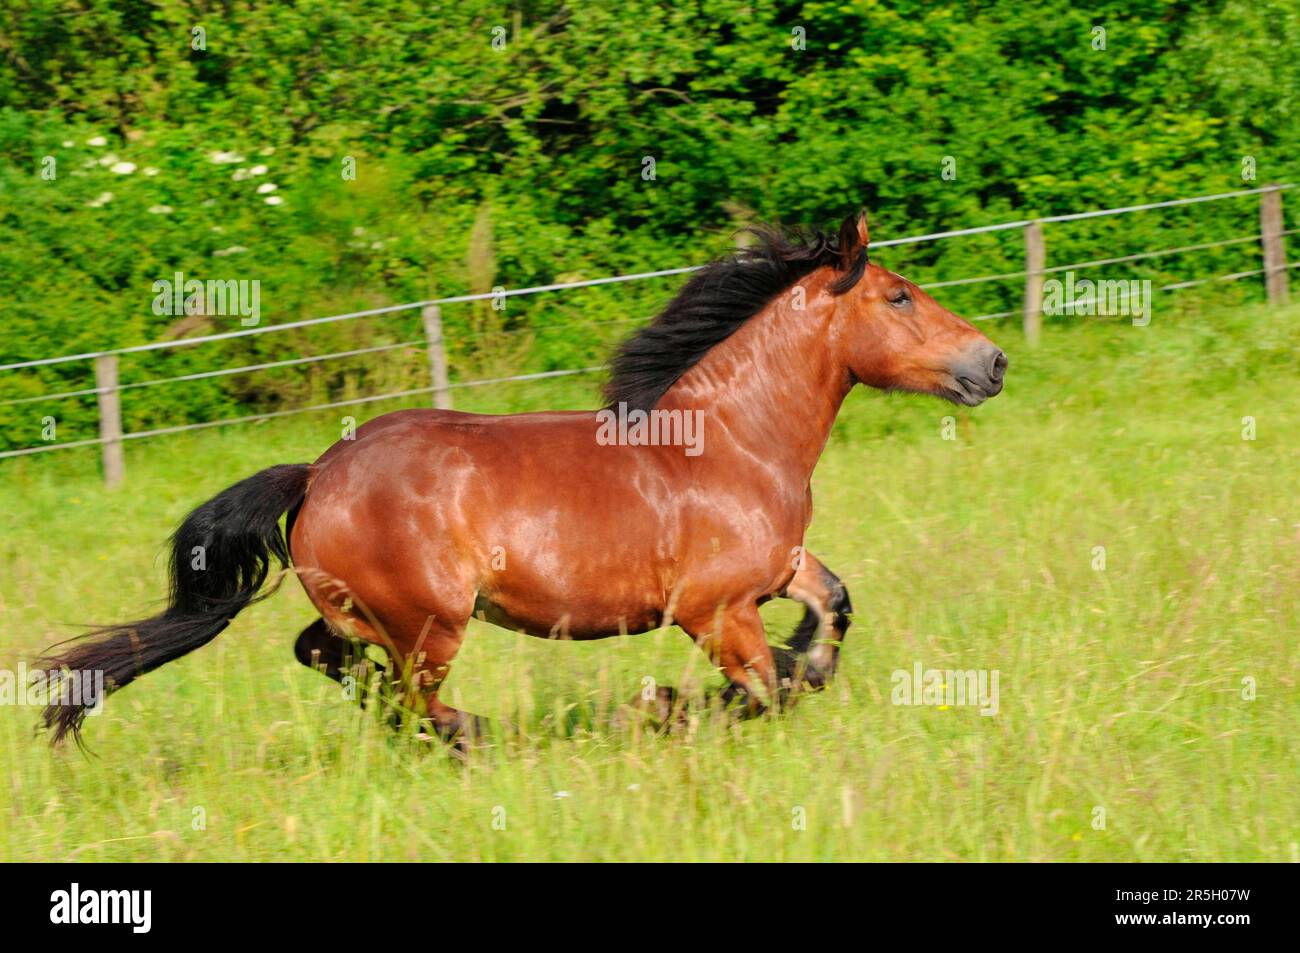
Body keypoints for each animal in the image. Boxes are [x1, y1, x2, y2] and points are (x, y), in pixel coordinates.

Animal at [41, 212, 1006, 751]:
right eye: (899, 296)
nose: (992, 362)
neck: (732, 440)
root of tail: (317, 471)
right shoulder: (714, 608)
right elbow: (758, 690)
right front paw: (664, 709)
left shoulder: (773, 572)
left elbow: (830, 606)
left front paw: (803, 658)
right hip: (432, 624)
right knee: (410, 696)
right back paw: (478, 738)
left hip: (363, 613)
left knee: (333, 660)